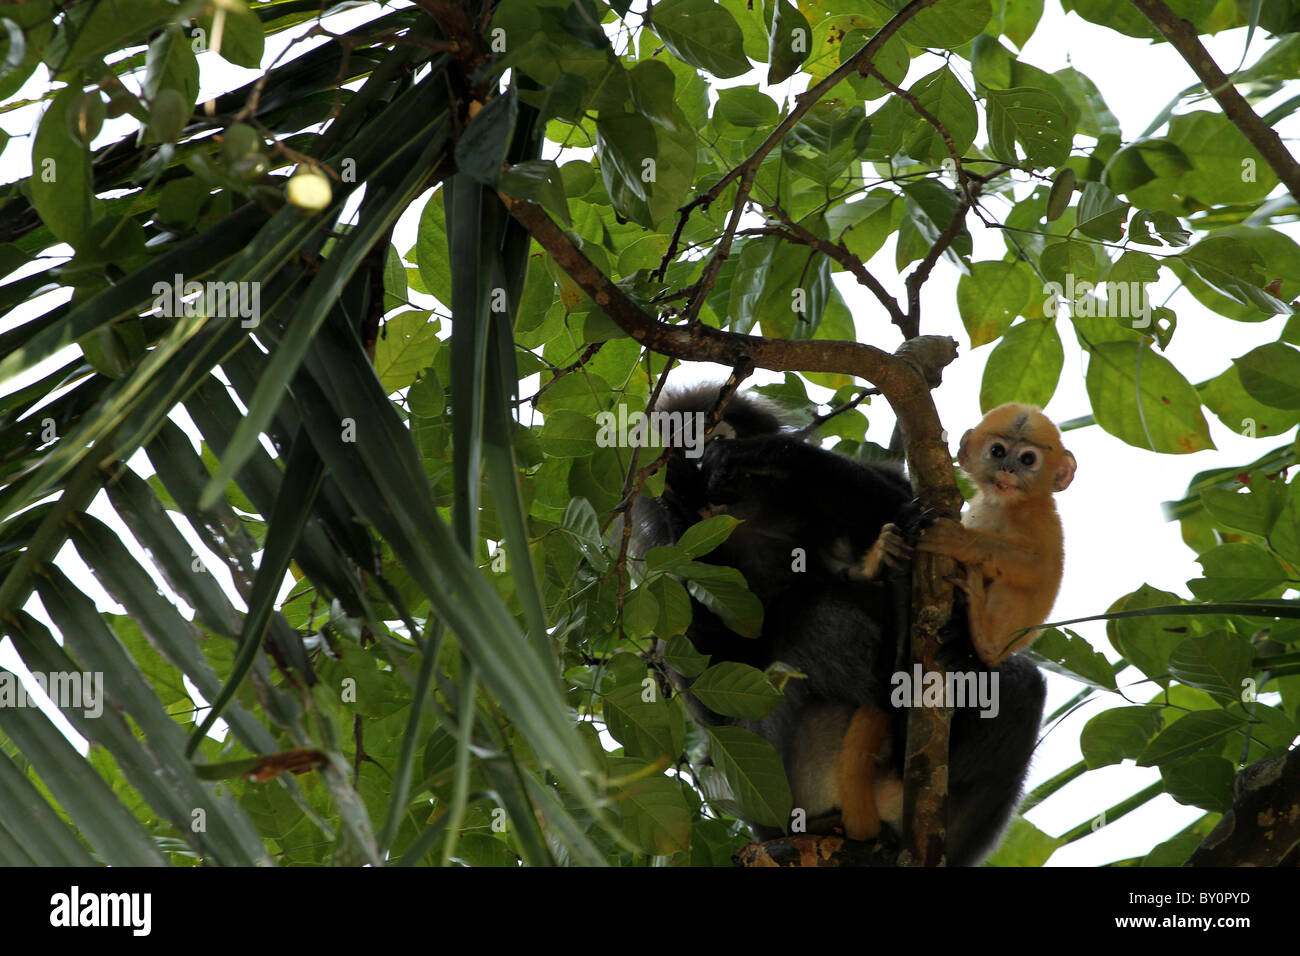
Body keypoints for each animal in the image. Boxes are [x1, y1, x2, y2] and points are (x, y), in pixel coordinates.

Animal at [630, 384, 1046, 865]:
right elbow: (715, 682)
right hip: (780, 778)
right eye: (676, 453)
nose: (694, 470)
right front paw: (677, 505)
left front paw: (768, 454)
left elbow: (911, 508)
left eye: (711, 439)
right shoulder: (663, 561)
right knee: (807, 615)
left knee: (1021, 684)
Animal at [912, 403, 1076, 666]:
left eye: (1028, 459)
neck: (1005, 505)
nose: (1007, 469)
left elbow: (1039, 565)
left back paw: (982, 632)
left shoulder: (1035, 518)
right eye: (998, 451)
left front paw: (957, 540)